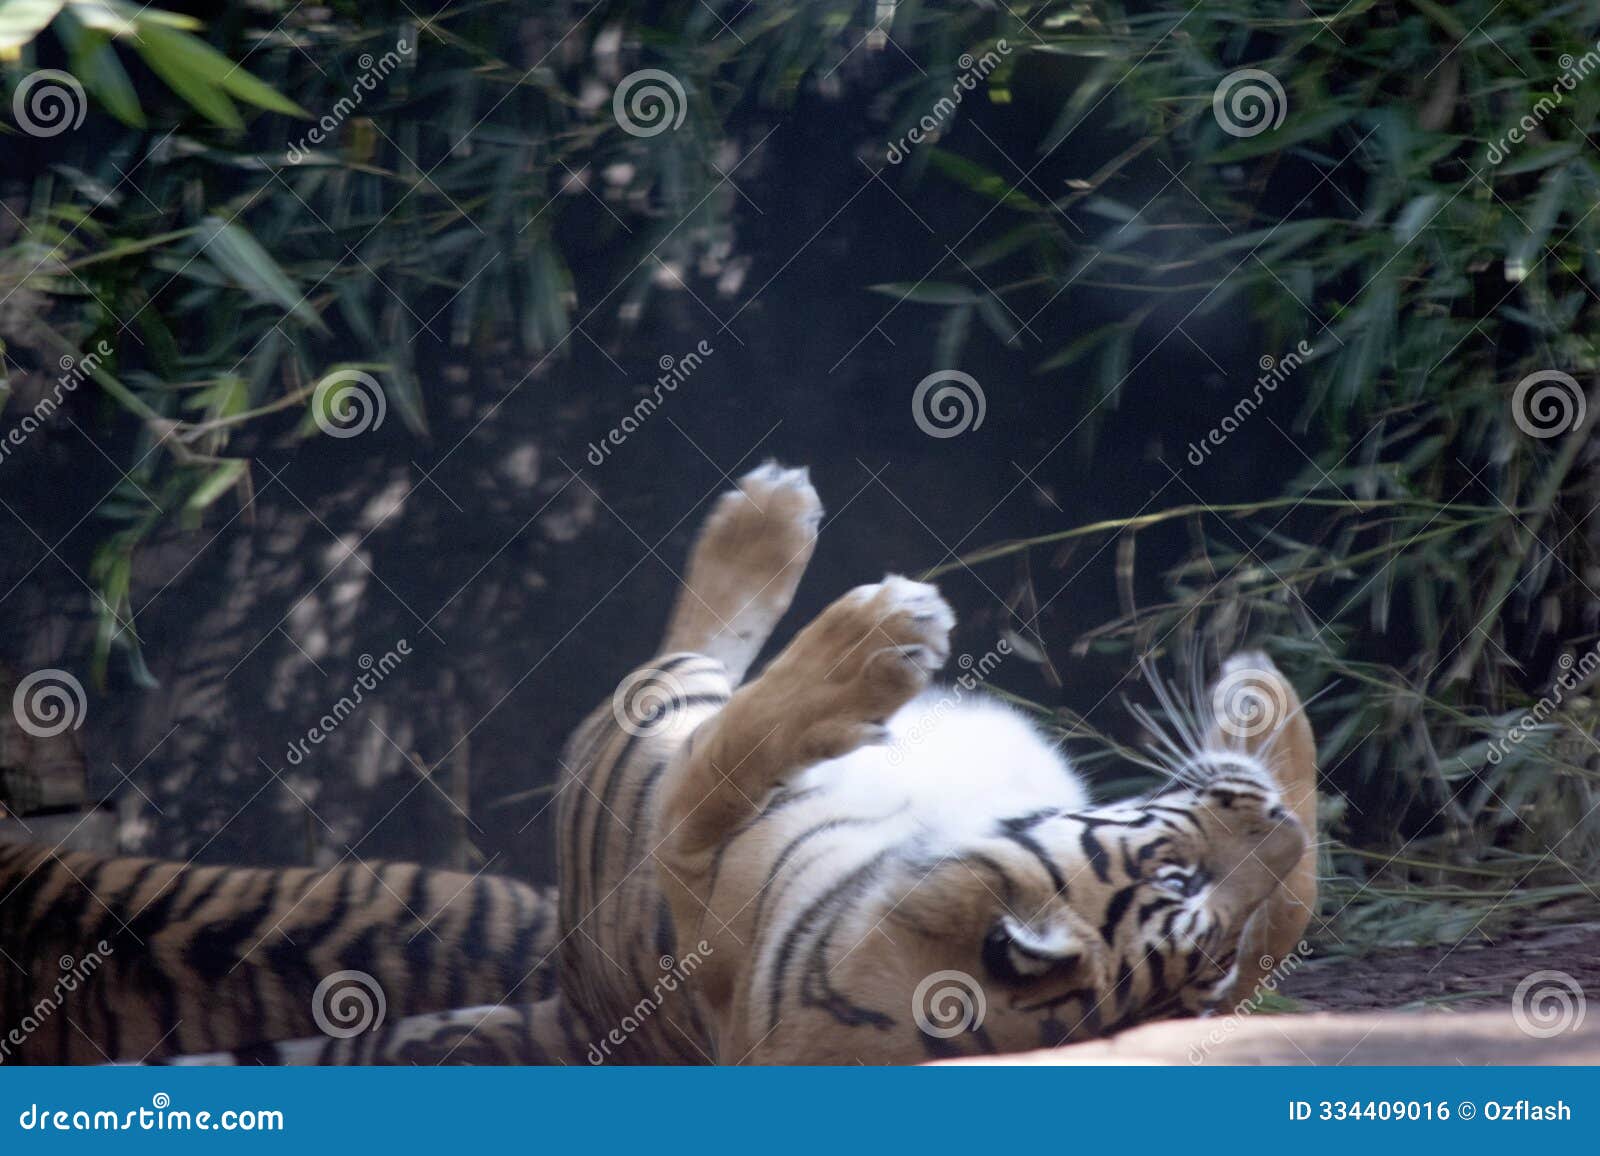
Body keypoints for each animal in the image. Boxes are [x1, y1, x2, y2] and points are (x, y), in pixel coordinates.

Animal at [165, 461, 1319, 1065]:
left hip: (628, 758)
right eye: (1183, 880)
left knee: (681, 668)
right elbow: (1301, 884)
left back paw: (771, 519)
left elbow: (738, 738)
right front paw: (1266, 698)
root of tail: (574, 1000)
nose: (1272, 822)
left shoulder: (686, 838)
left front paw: (875, 638)